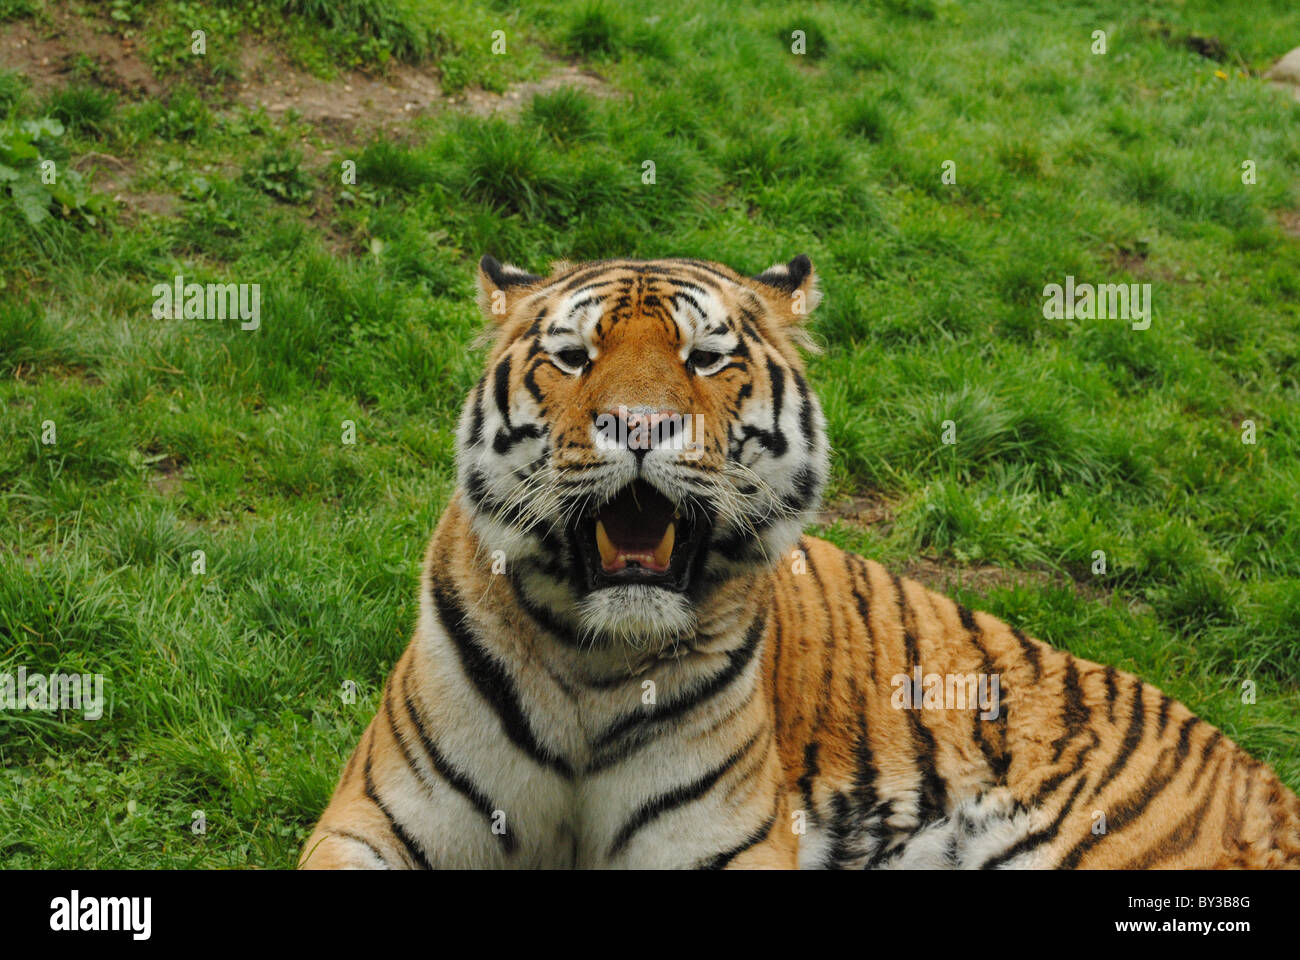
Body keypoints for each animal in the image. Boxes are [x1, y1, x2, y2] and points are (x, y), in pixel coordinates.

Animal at [299, 254, 1300, 869]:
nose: (638, 427)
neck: (593, 659)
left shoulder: (718, 845)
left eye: (706, 358)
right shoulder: (378, 818)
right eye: (573, 357)